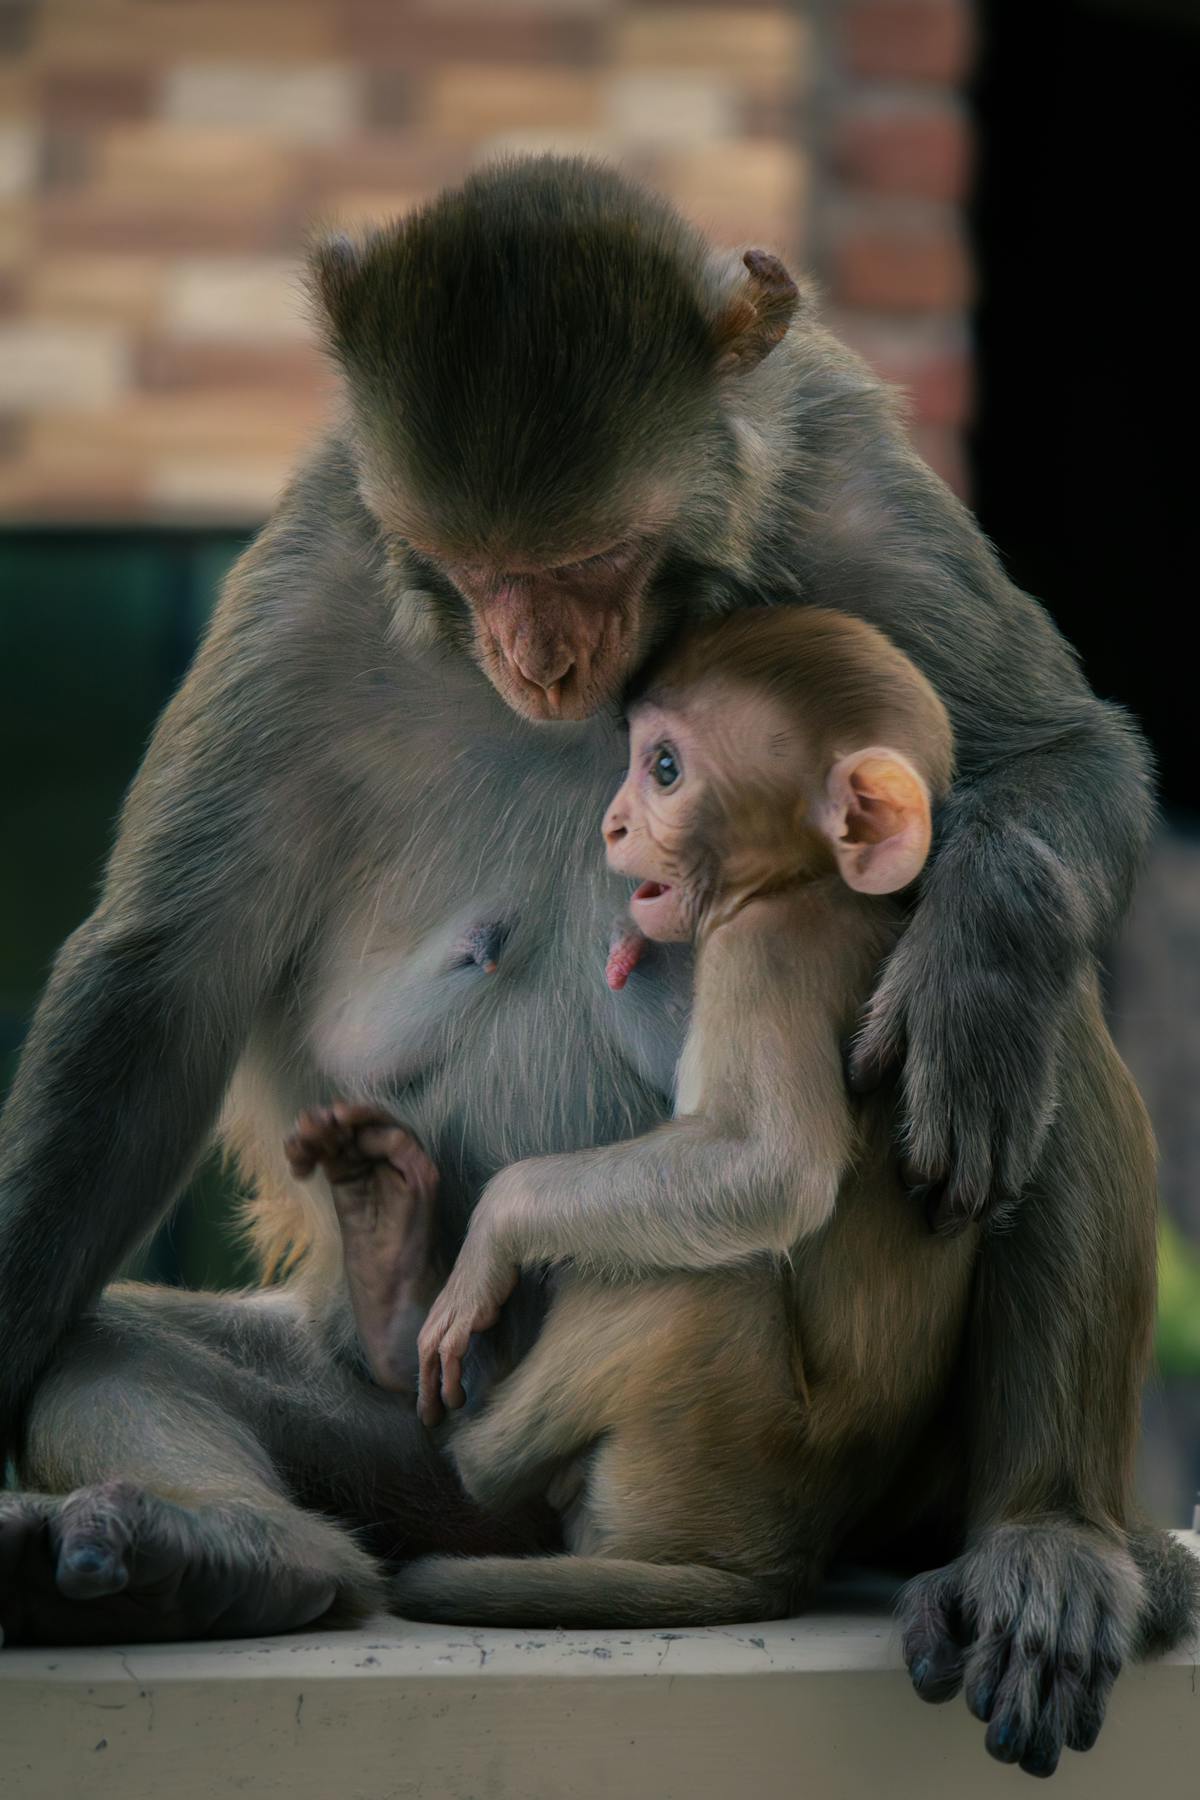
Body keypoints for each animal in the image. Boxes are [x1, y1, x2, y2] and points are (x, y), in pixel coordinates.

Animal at [0, 158, 1195, 1774]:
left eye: (595, 561)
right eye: (473, 571)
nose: (544, 662)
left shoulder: (843, 466)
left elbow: (1063, 762)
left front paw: (982, 962)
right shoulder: (315, 564)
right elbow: (159, 982)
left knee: (1027, 1039)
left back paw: (1045, 1536)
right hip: (414, 1440)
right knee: (120, 1357)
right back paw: (228, 1555)